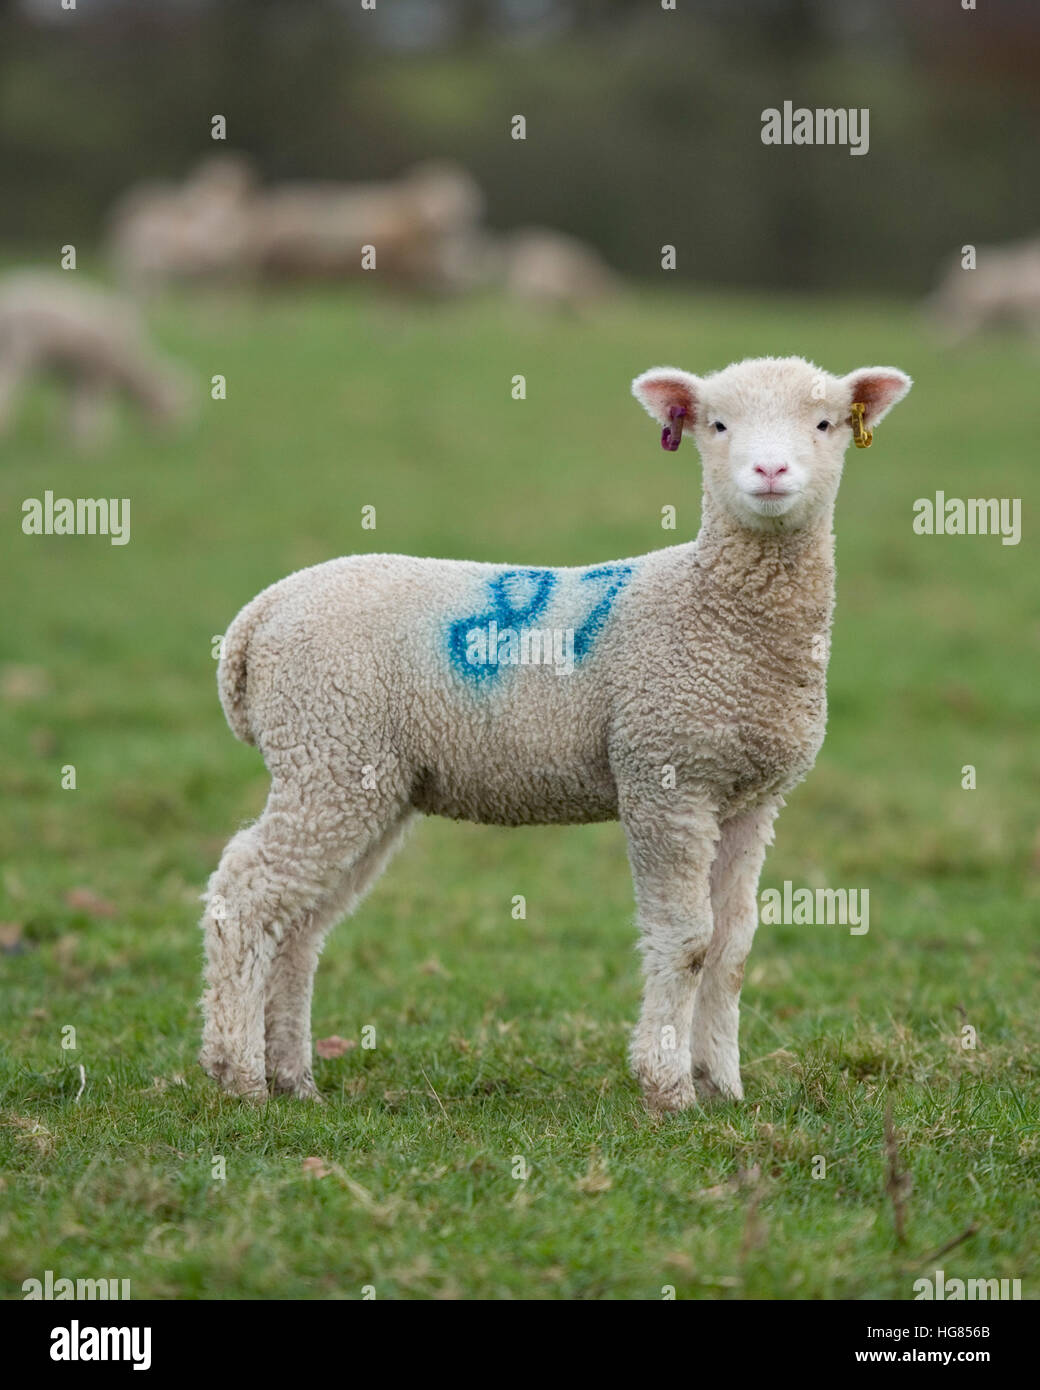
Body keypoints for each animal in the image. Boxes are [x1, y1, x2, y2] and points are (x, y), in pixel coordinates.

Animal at [0, 271, 193, 444]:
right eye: (174, 411)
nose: (172, 441)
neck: (130, 367)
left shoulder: (76, 374)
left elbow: (70, 408)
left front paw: (67, 437)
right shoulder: (98, 375)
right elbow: (91, 410)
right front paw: (93, 442)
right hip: (15, 353)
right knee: (6, 388)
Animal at [197, 355, 912, 1106]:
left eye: (825, 423)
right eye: (717, 425)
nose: (770, 471)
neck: (714, 609)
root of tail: (259, 616)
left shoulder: (752, 798)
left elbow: (733, 945)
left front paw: (722, 1085)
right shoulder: (664, 776)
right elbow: (686, 940)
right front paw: (667, 1087)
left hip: (364, 776)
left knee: (301, 924)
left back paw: (292, 1076)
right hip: (326, 748)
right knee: (245, 894)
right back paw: (237, 1074)